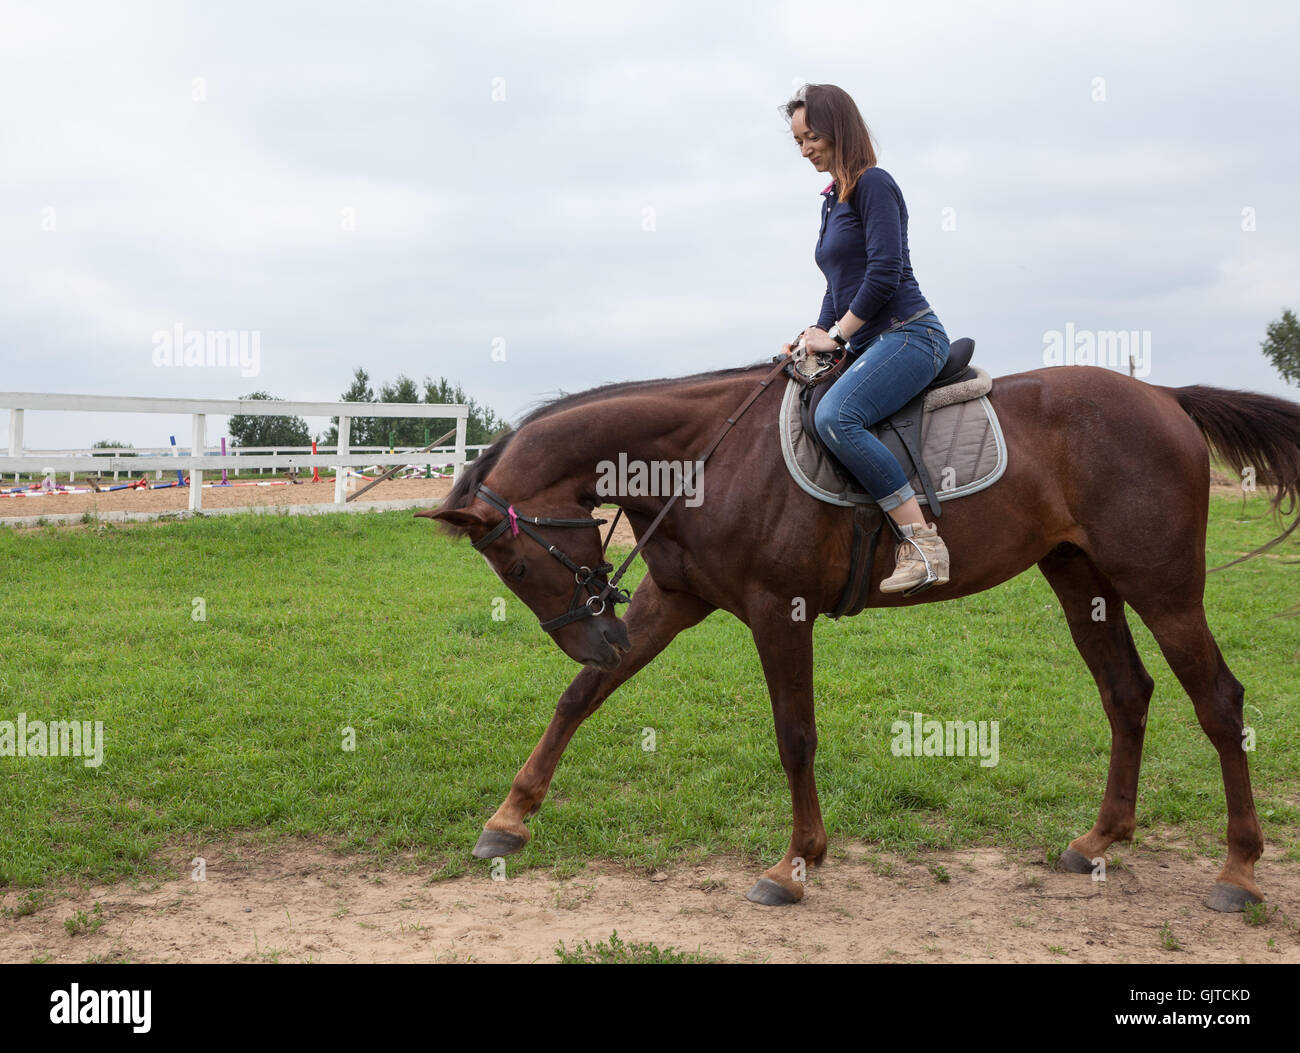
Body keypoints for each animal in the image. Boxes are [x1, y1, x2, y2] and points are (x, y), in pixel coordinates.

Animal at [421, 359, 1300, 911]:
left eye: (517, 565)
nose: (590, 633)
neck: (702, 457)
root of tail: (1164, 395)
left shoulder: (779, 610)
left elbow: (794, 735)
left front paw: (794, 862)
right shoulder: (672, 600)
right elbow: (581, 695)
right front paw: (510, 817)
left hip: (1163, 587)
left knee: (1219, 702)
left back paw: (1239, 868)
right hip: (1080, 577)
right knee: (1127, 694)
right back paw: (1099, 839)